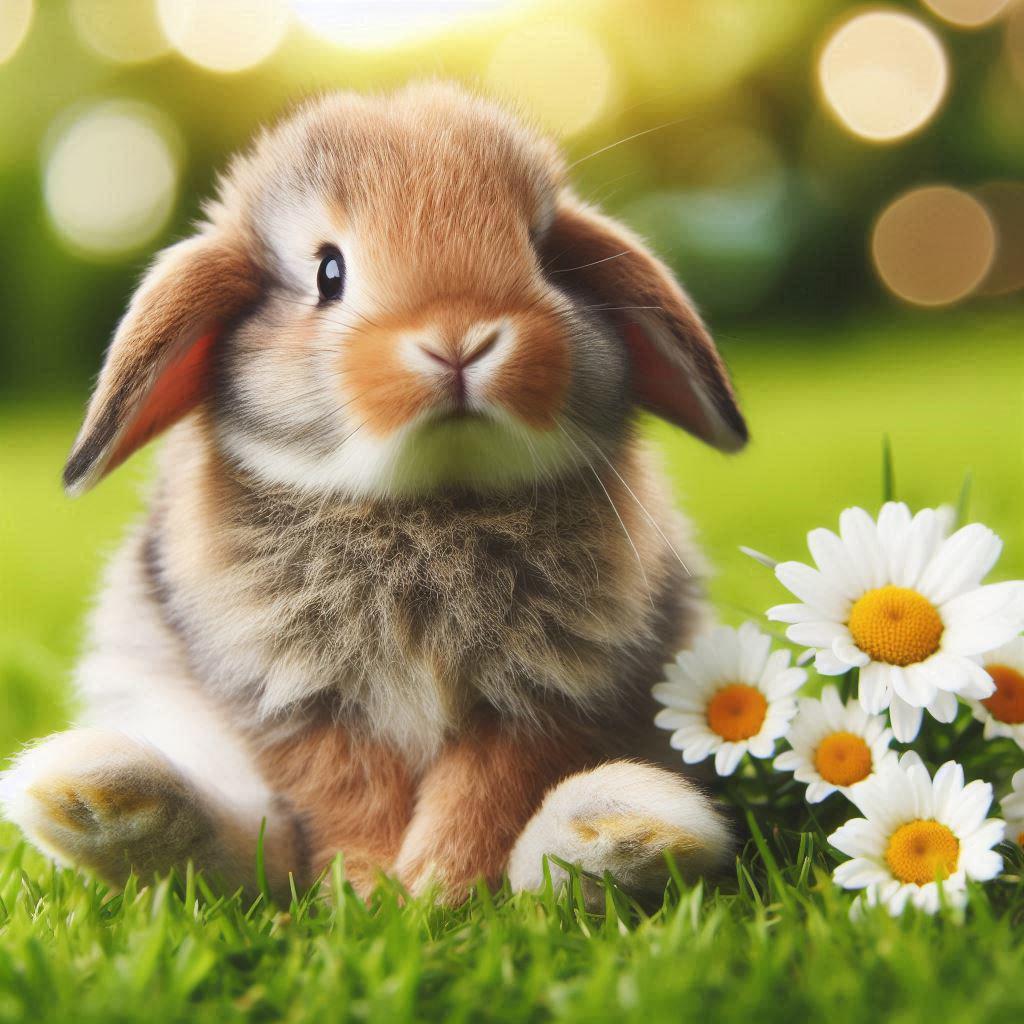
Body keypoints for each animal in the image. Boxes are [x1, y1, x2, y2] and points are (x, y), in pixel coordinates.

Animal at [1, 82, 746, 904]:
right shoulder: (299, 702)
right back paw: (100, 800)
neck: (433, 500)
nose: (460, 339)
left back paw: (629, 832)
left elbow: (485, 792)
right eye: (330, 273)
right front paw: (372, 894)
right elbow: (351, 794)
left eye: (545, 258)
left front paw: (439, 889)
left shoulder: (542, 700)